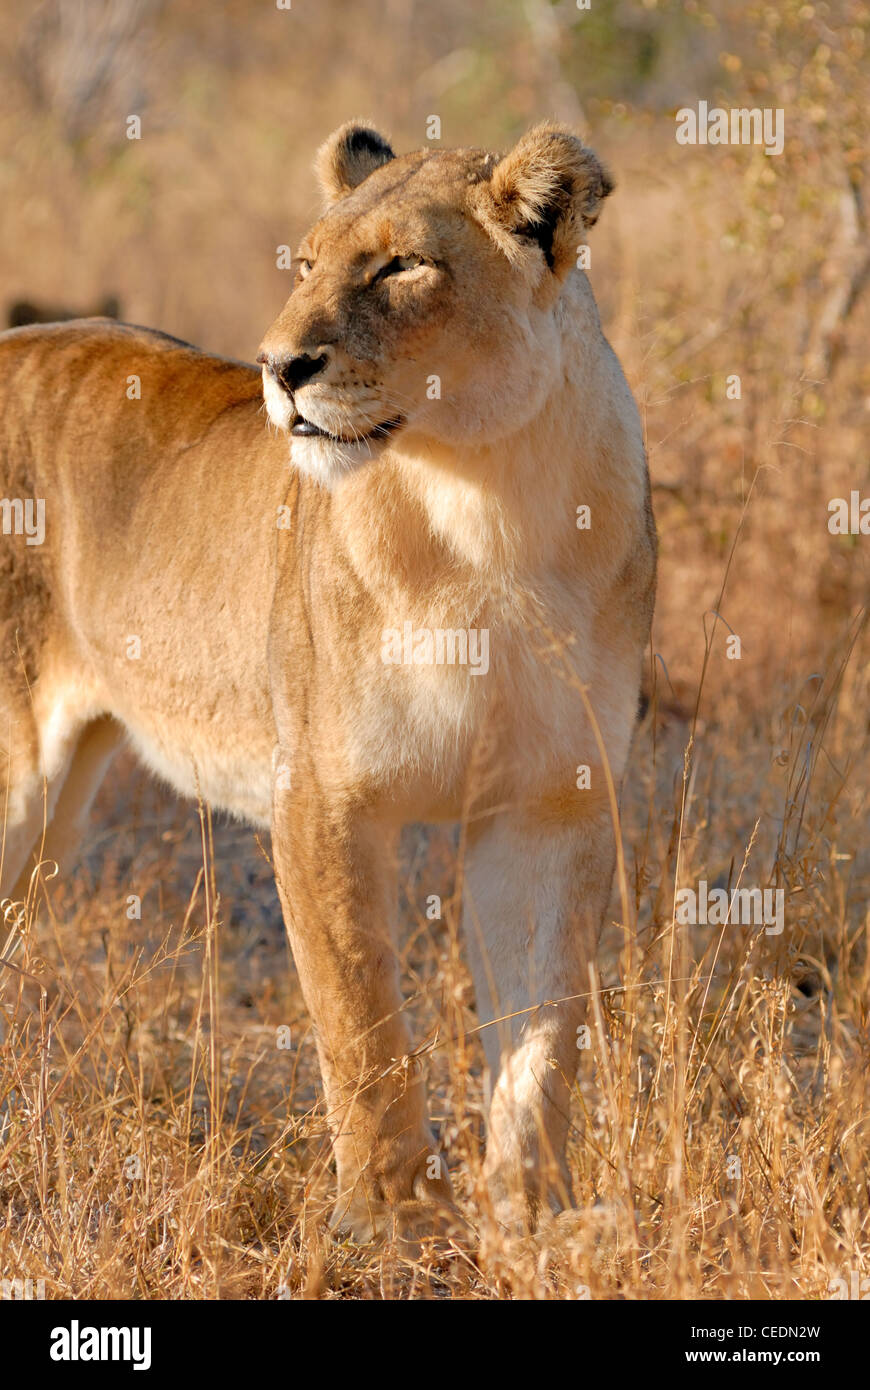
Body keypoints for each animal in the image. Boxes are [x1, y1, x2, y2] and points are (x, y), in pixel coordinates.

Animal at [0, 122, 656, 1242]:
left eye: (400, 268)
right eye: (304, 264)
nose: (279, 366)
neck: (487, 505)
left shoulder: (551, 801)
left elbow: (540, 1035)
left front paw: (533, 1215)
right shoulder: (322, 797)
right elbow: (361, 1020)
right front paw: (388, 1220)